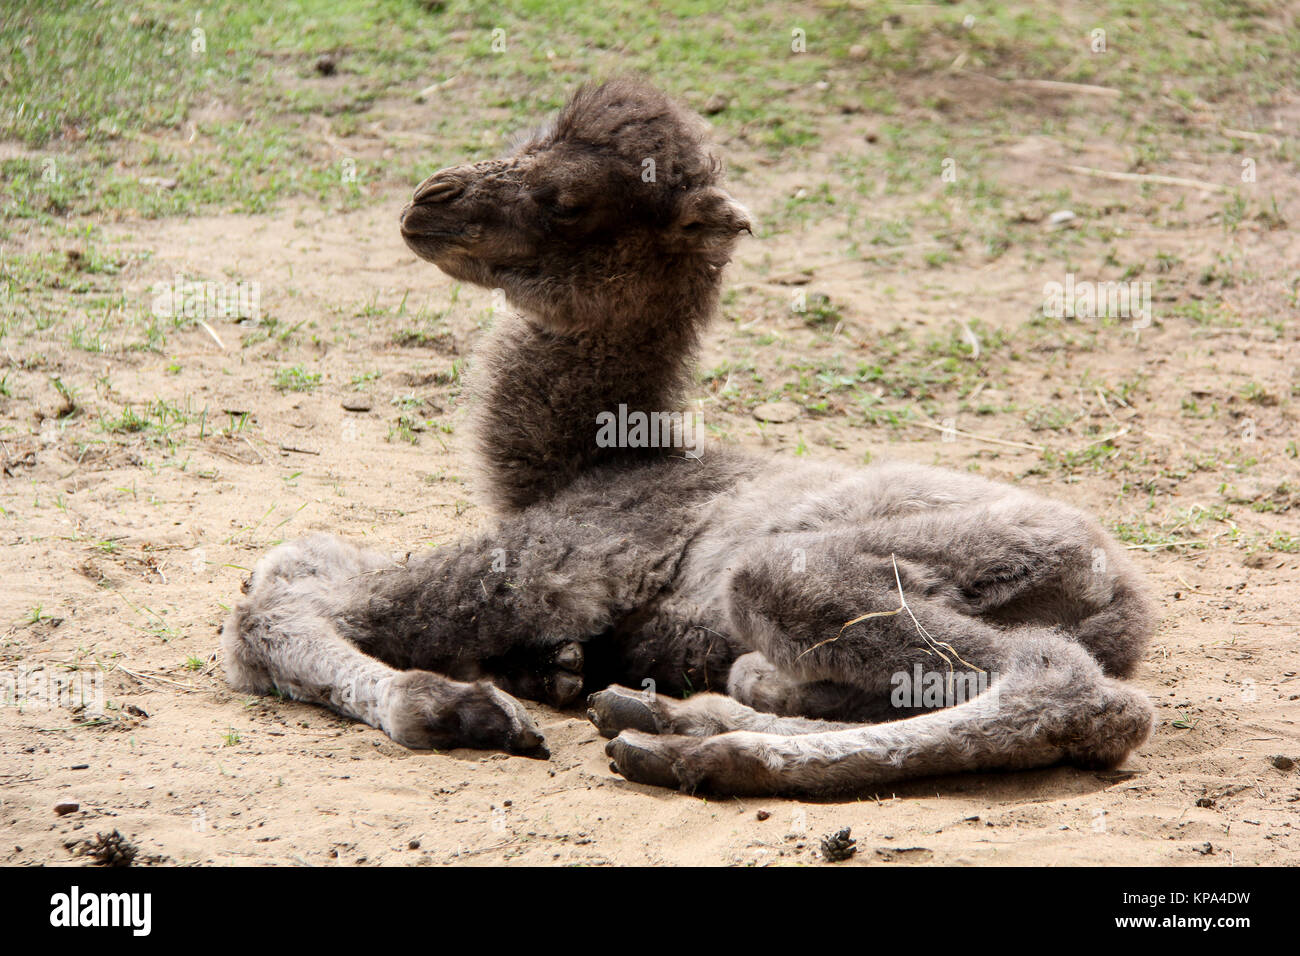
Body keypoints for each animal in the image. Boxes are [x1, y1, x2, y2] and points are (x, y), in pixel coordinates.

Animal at [220, 79, 1155, 796]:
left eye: (569, 202)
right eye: (527, 142)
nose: (429, 198)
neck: (594, 459)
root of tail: (1117, 592)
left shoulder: (567, 555)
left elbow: (278, 594)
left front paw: (454, 705)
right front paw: (545, 673)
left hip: (819, 568)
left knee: (1076, 691)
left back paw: (690, 754)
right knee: (789, 677)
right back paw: (662, 712)